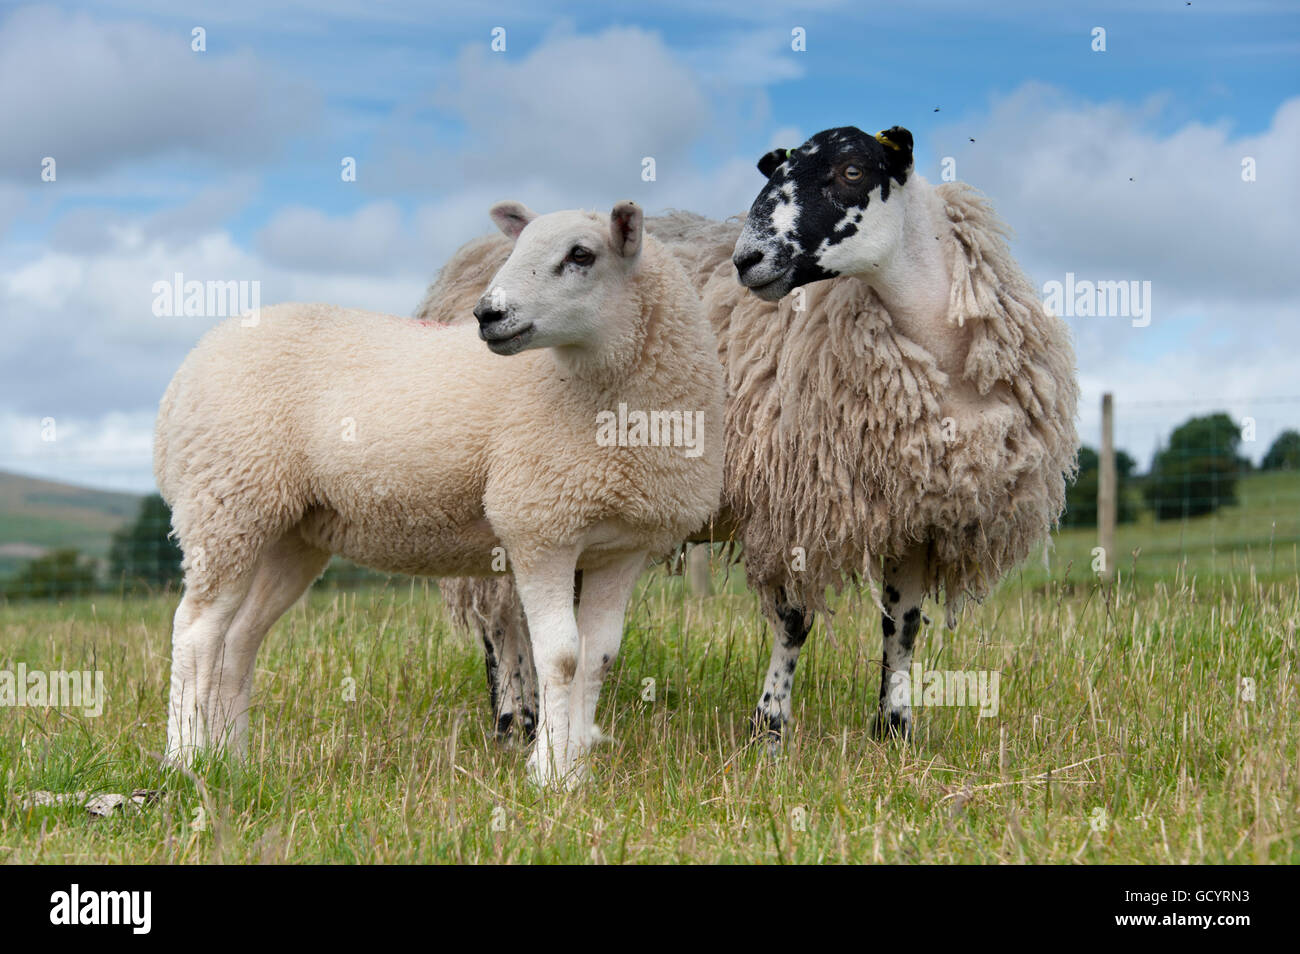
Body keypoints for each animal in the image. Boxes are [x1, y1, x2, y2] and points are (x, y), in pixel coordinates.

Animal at [153, 199, 726, 786]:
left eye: (581, 255)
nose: (488, 314)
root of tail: (188, 371)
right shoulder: (539, 524)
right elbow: (562, 657)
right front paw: (549, 776)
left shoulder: (623, 547)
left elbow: (597, 659)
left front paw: (575, 774)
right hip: (225, 500)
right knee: (195, 632)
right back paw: (184, 761)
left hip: (288, 529)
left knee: (239, 639)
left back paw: (232, 763)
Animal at [433, 124, 1078, 749]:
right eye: (776, 172)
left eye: (852, 170)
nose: (748, 258)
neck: (936, 345)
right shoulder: (792, 502)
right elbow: (794, 620)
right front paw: (769, 729)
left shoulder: (921, 517)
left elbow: (903, 626)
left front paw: (894, 732)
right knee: (497, 616)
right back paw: (512, 719)